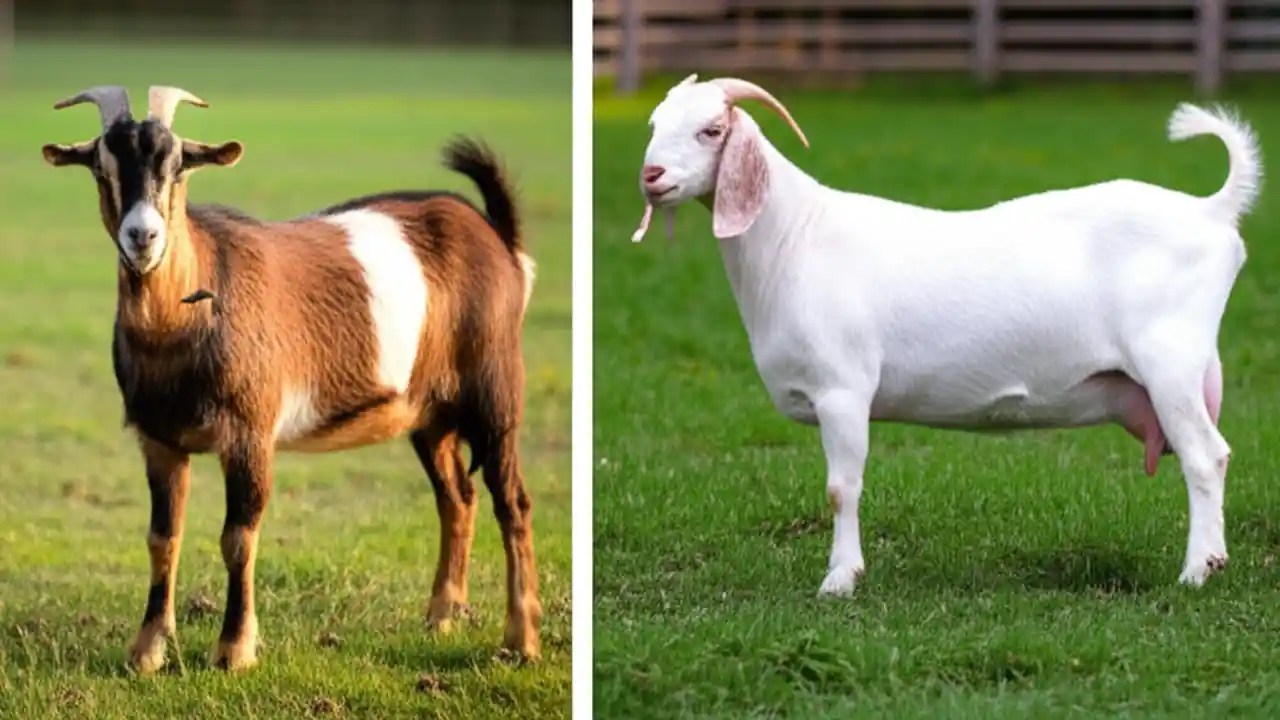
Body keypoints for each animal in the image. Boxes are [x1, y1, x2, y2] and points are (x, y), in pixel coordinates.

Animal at [42, 85, 541, 672]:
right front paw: (147, 651)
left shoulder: (250, 432)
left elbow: (238, 537)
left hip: (495, 389)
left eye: (179, 165)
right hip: (430, 413)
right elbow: (162, 537)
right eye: (102, 167)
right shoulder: (158, 438)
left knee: (512, 501)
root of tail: (496, 236)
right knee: (457, 496)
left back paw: (521, 640)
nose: (143, 236)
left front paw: (235, 650)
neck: (184, 321)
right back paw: (442, 616)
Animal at [632, 74, 1261, 594]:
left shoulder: (842, 391)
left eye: (712, 130)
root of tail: (1211, 211)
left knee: (1207, 457)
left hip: (1170, 364)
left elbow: (842, 487)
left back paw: (1196, 573)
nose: (651, 177)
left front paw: (840, 580)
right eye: (655, 125)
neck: (795, 237)